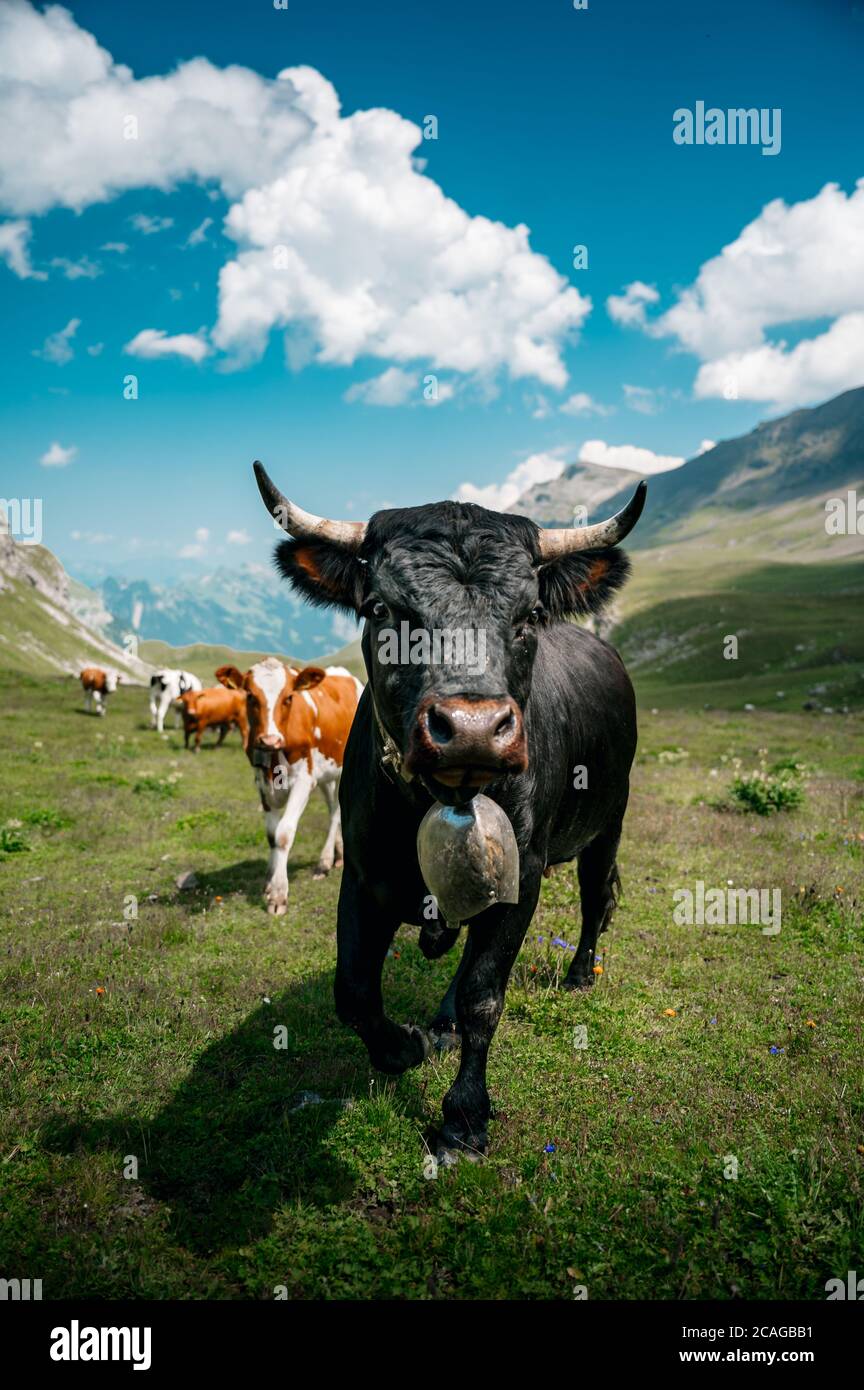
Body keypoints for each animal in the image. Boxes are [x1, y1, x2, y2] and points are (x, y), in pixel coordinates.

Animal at [215, 660, 363, 915]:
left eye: (289, 697)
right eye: (250, 696)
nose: (269, 739)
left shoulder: (304, 780)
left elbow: (283, 833)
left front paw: (278, 895)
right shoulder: (262, 783)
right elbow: (271, 834)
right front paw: (269, 881)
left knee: (337, 813)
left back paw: (323, 863)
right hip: (326, 775)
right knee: (333, 808)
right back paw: (337, 856)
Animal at [252, 460, 647, 1159]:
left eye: (530, 612)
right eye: (381, 609)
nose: (471, 729)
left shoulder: (522, 876)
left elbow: (485, 997)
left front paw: (464, 1117)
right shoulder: (366, 878)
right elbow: (354, 992)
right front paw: (406, 1046)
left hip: (610, 820)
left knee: (596, 897)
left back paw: (579, 974)